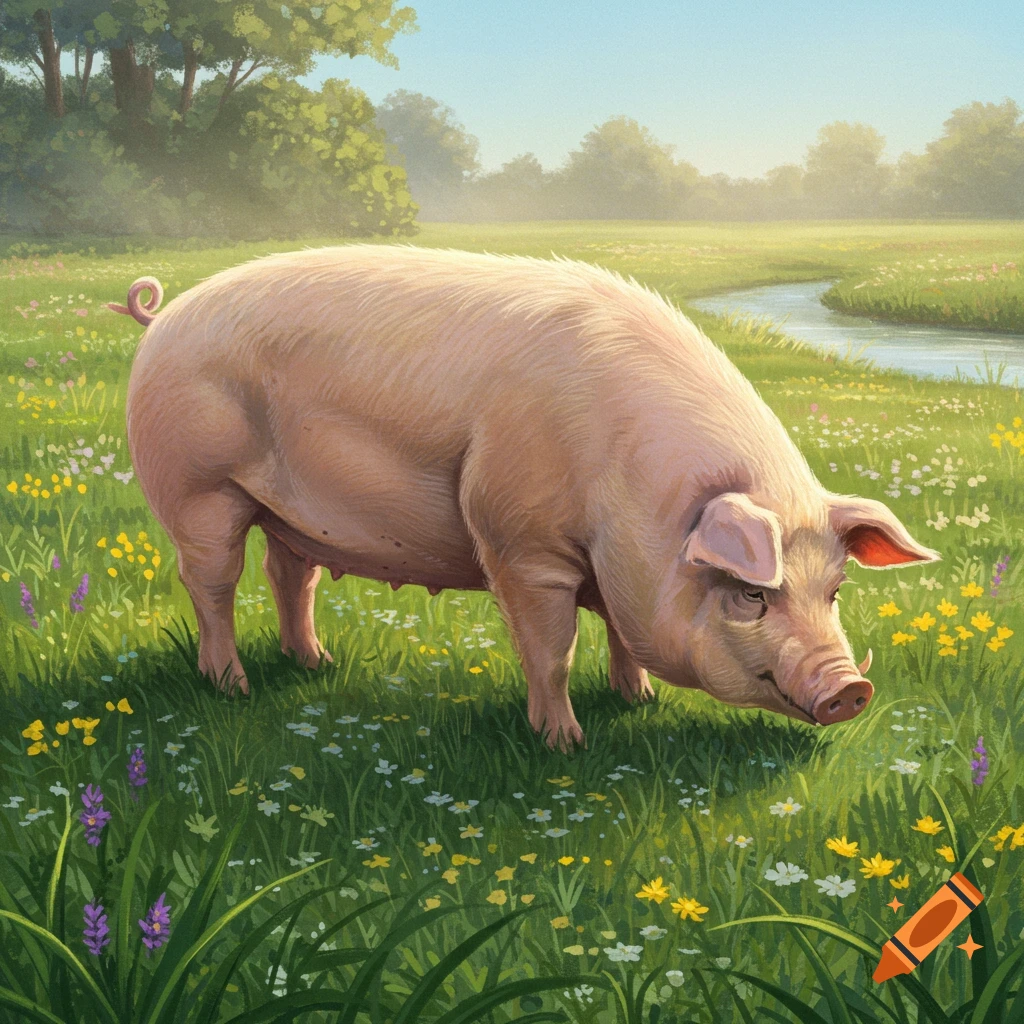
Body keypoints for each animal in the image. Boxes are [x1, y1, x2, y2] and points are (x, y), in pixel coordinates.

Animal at [113, 246, 938, 749]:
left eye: (835, 591)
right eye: (750, 594)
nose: (851, 689)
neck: (634, 497)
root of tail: (164, 314)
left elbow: (618, 636)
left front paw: (640, 703)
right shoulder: (520, 543)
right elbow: (552, 651)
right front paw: (565, 745)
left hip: (289, 514)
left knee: (291, 574)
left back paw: (316, 665)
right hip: (197, 486)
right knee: (212, 583)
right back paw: (234, 688)